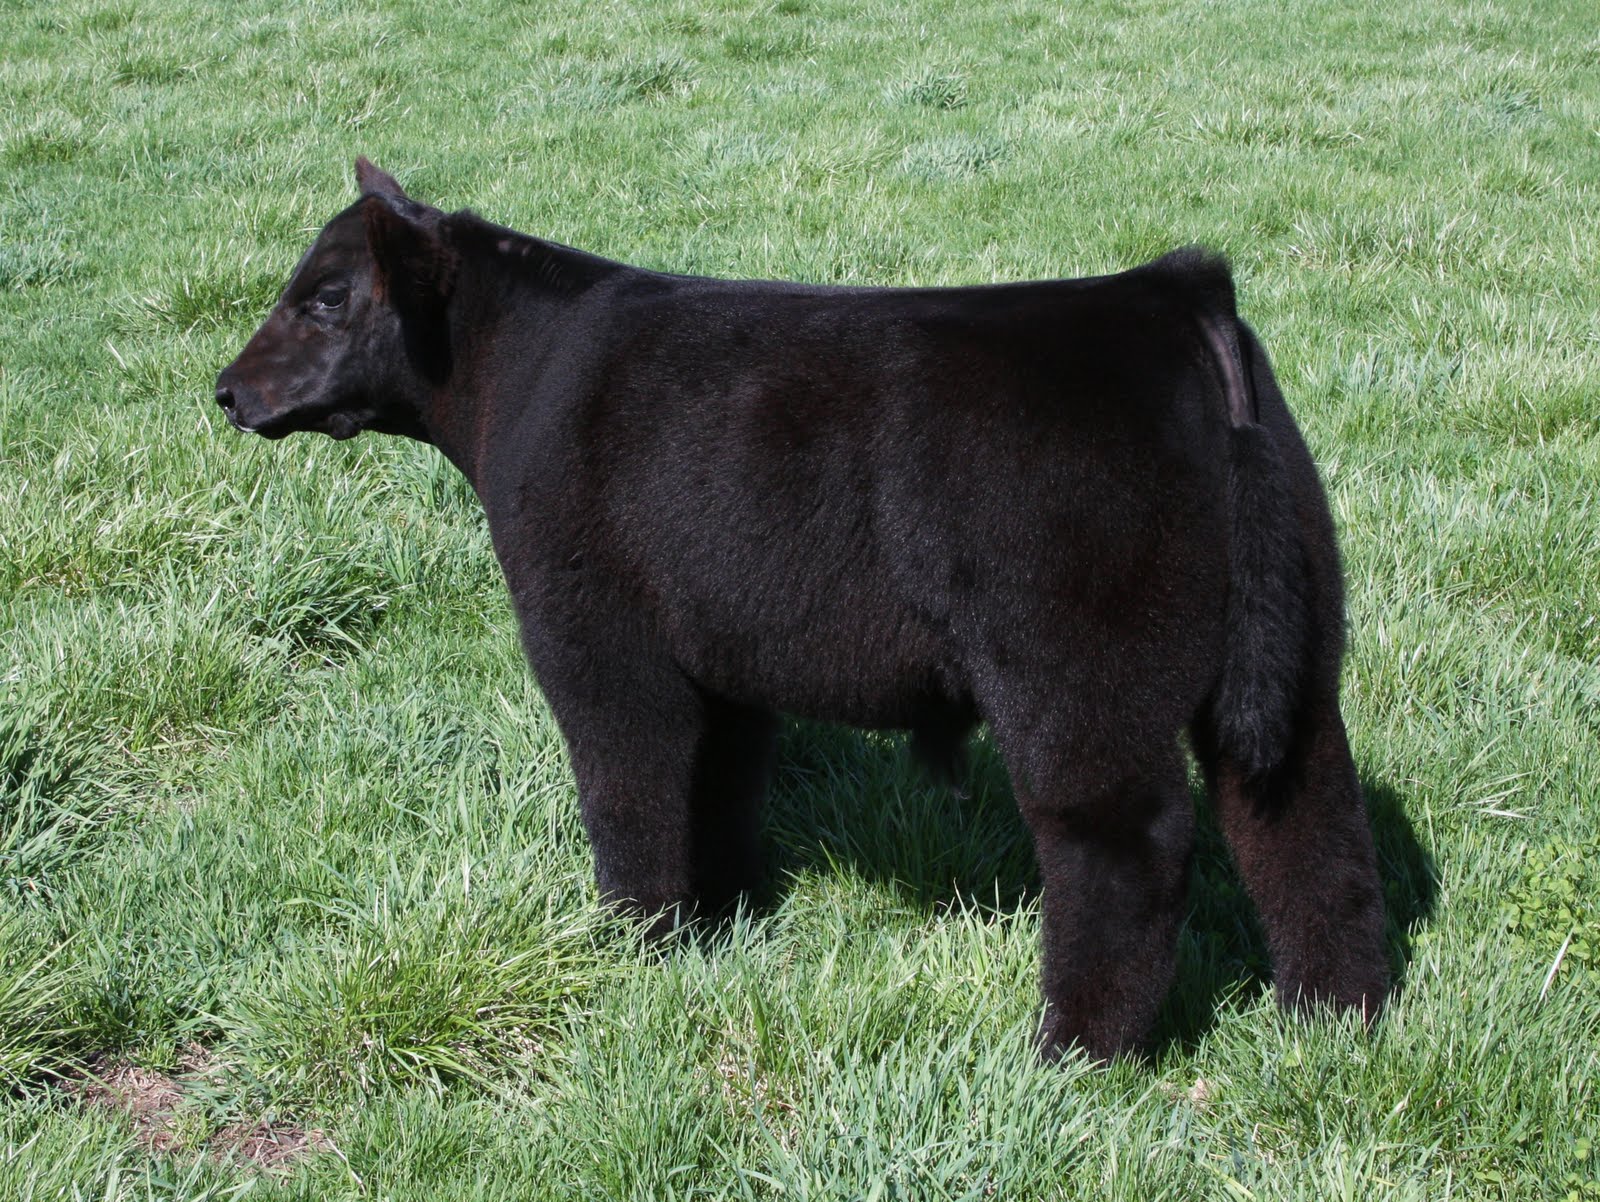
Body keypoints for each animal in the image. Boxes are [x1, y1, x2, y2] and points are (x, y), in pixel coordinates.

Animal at [215, 158, 1388, 1062]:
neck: (519, 375)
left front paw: (631, 945)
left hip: (1078, 681)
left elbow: (630, 795)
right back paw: (1333, 1023)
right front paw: (723, 926)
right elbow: (721, 790)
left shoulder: (594, 641)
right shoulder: (720, 655)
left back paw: (1073, 1055)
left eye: (326, 297)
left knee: (1125, 845)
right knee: (1304, 820)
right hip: (1293, 659)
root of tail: (1169, 292)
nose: (227, 389)